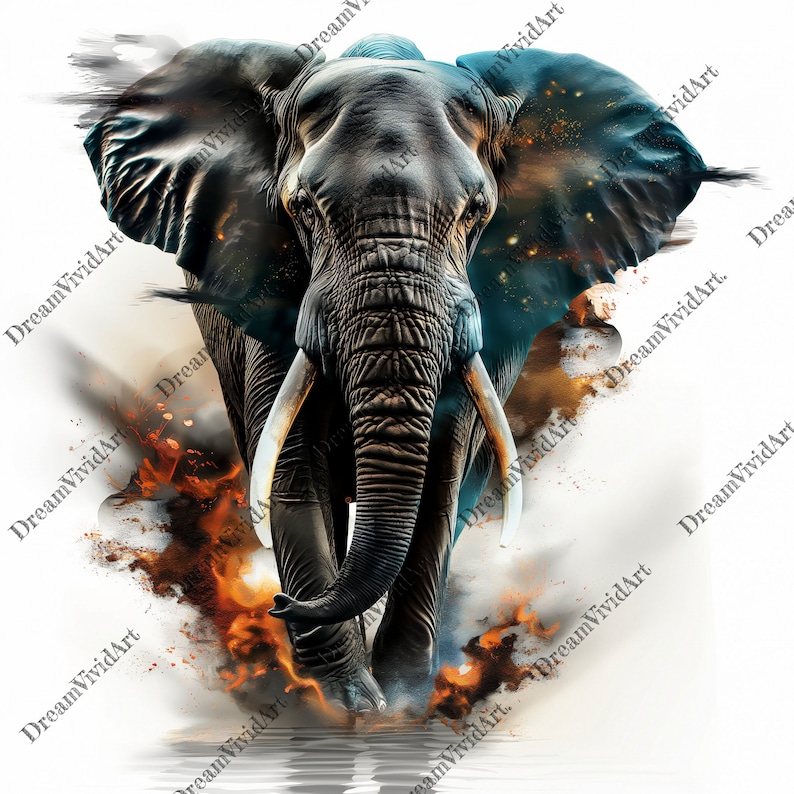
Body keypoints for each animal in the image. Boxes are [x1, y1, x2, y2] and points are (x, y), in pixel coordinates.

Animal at [84, 33, 737, 714]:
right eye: (303, 210)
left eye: (476, 213)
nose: (280, 603)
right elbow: (292, 466)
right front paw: (351, 706)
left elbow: (442, 472)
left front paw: (400, 701)